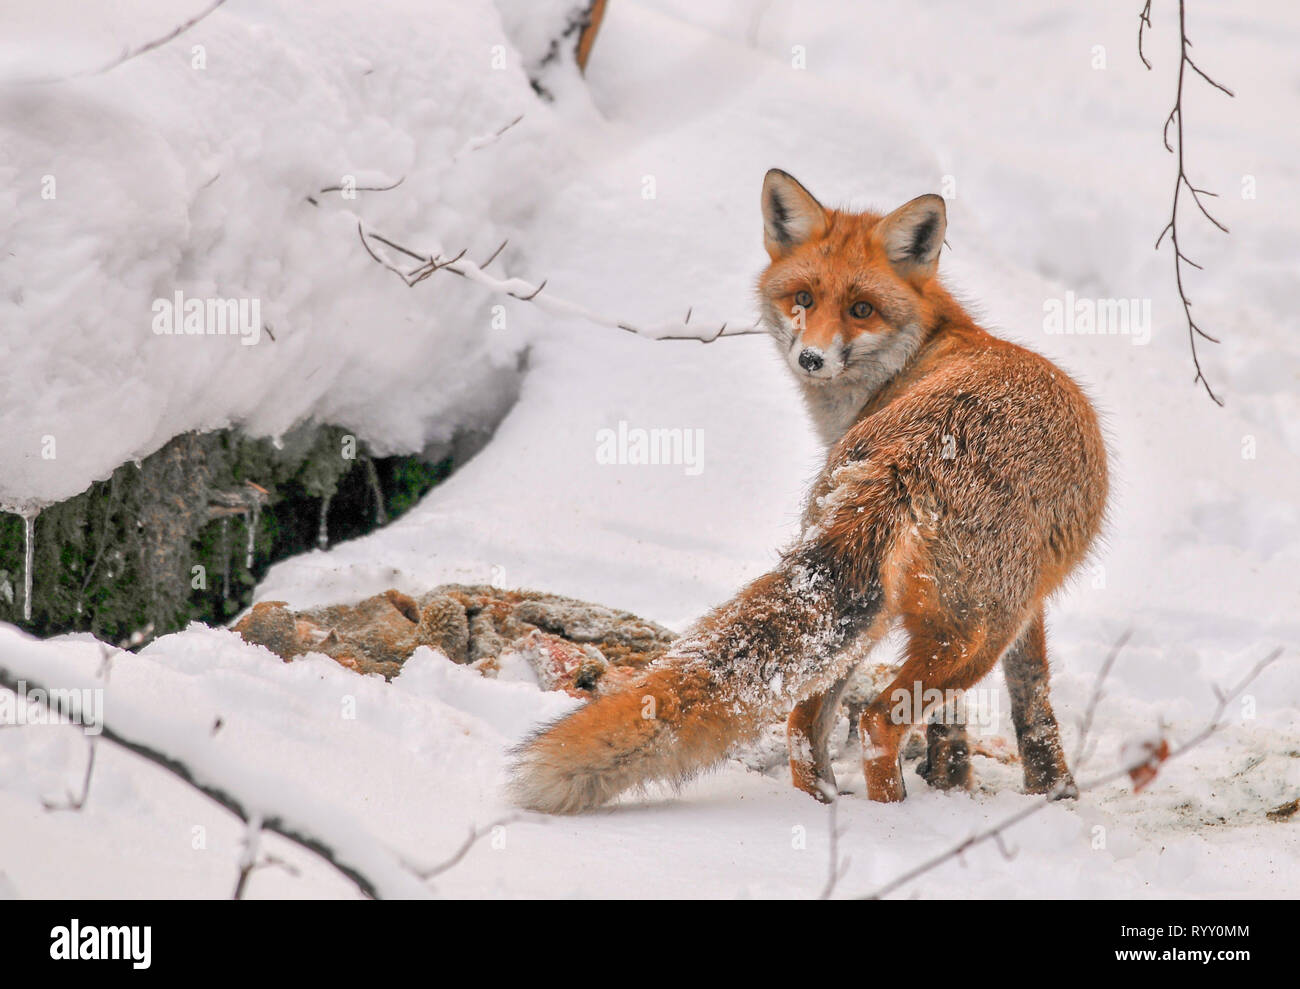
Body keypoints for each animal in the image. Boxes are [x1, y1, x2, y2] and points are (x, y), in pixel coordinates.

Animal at [509, 169, 1108, 813]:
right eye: (803, 299)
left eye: (862, 309)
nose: (812, 358)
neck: (920, 354)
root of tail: (910, 457)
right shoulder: (1021, 608)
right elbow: (1032, 695)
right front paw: (1049, 791)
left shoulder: (1004, 601)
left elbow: (994, 708)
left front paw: (993, 784)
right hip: (972, 632)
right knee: (875, 722)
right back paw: (893, 815)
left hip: (874, 617)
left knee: (802, 718)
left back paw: (819, 804)